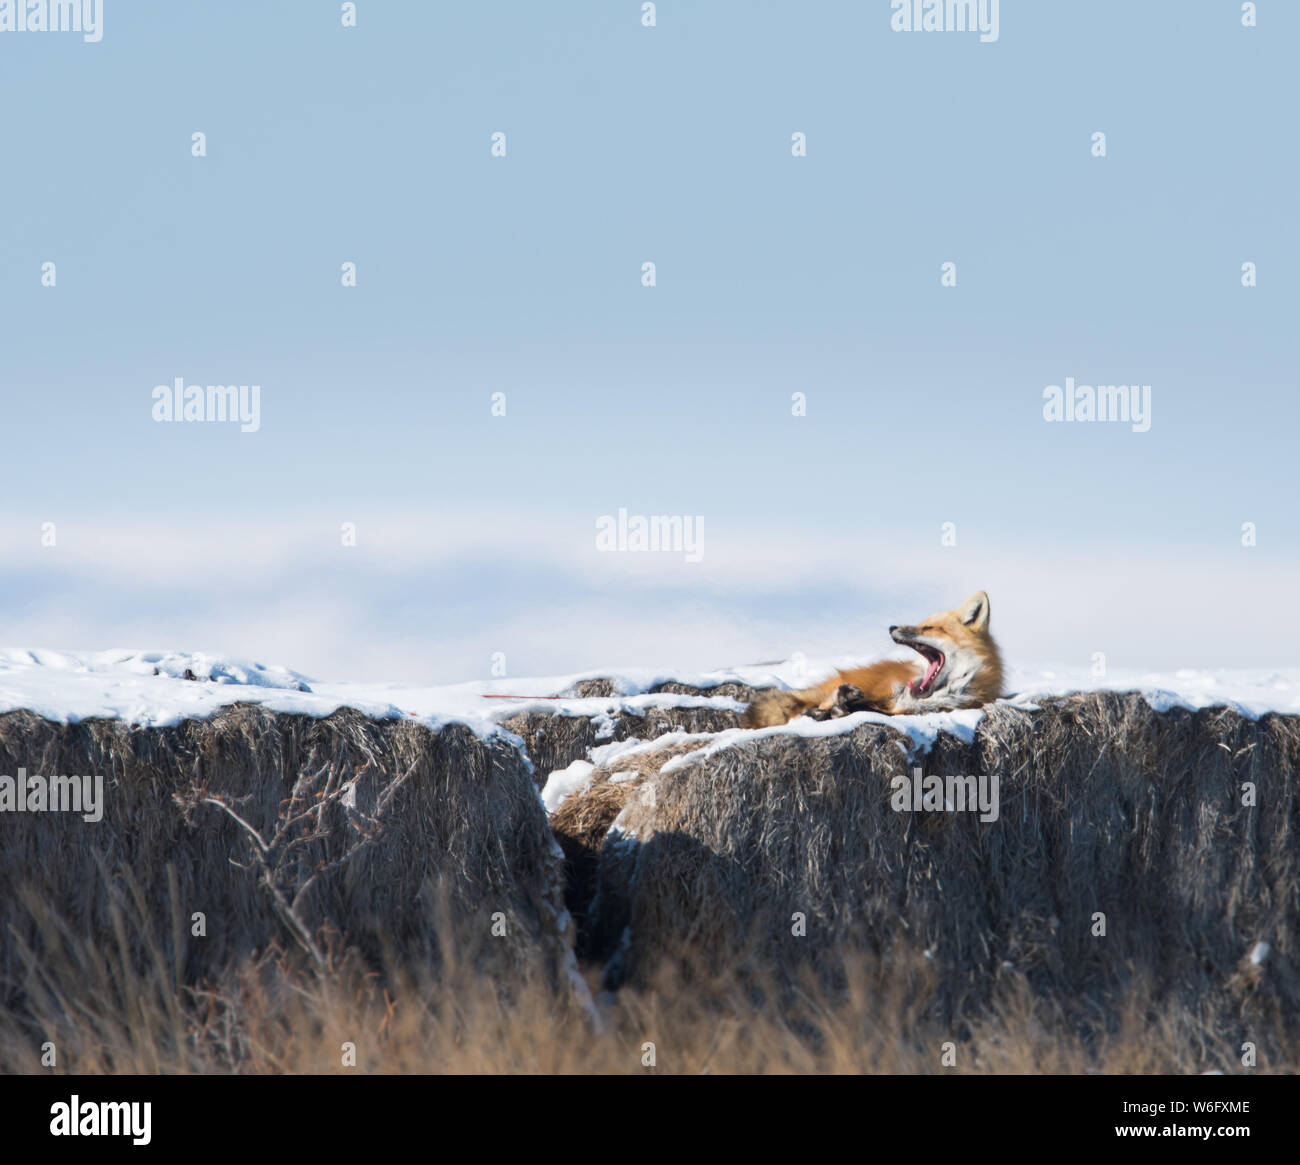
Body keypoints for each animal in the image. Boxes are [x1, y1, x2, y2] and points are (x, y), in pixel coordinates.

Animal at [742, 591, 1003, 728]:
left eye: (929, 628)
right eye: (922, 623)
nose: (892, 627)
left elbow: (881, 713)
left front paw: (844, 709)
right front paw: (839, 707)